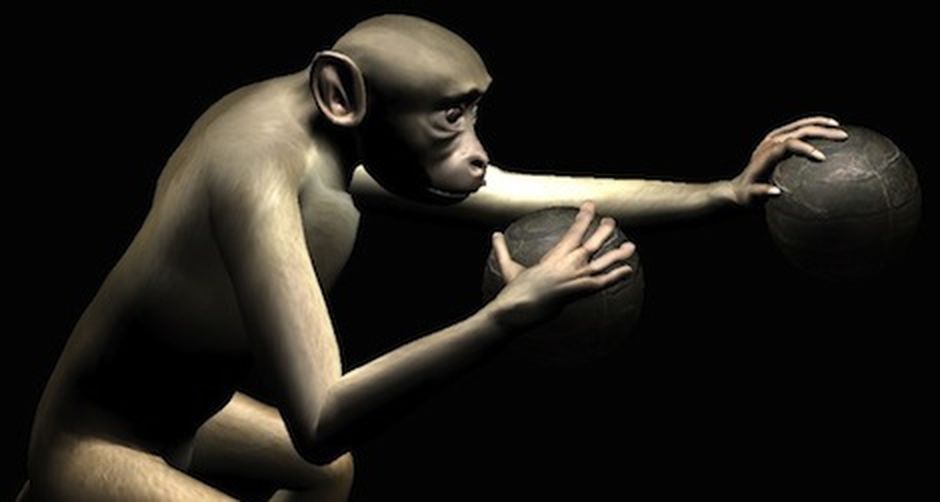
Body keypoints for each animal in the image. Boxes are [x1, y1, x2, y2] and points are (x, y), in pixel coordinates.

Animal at [20, 14, 846, 501]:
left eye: (477, 109)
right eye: (452, 112)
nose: (477, 153)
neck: (311, 126)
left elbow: (508, 193)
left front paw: (739, 183)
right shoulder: (254, 185)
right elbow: (319, 411)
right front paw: (532, 294)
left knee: (329, 471)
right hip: (100, 474)